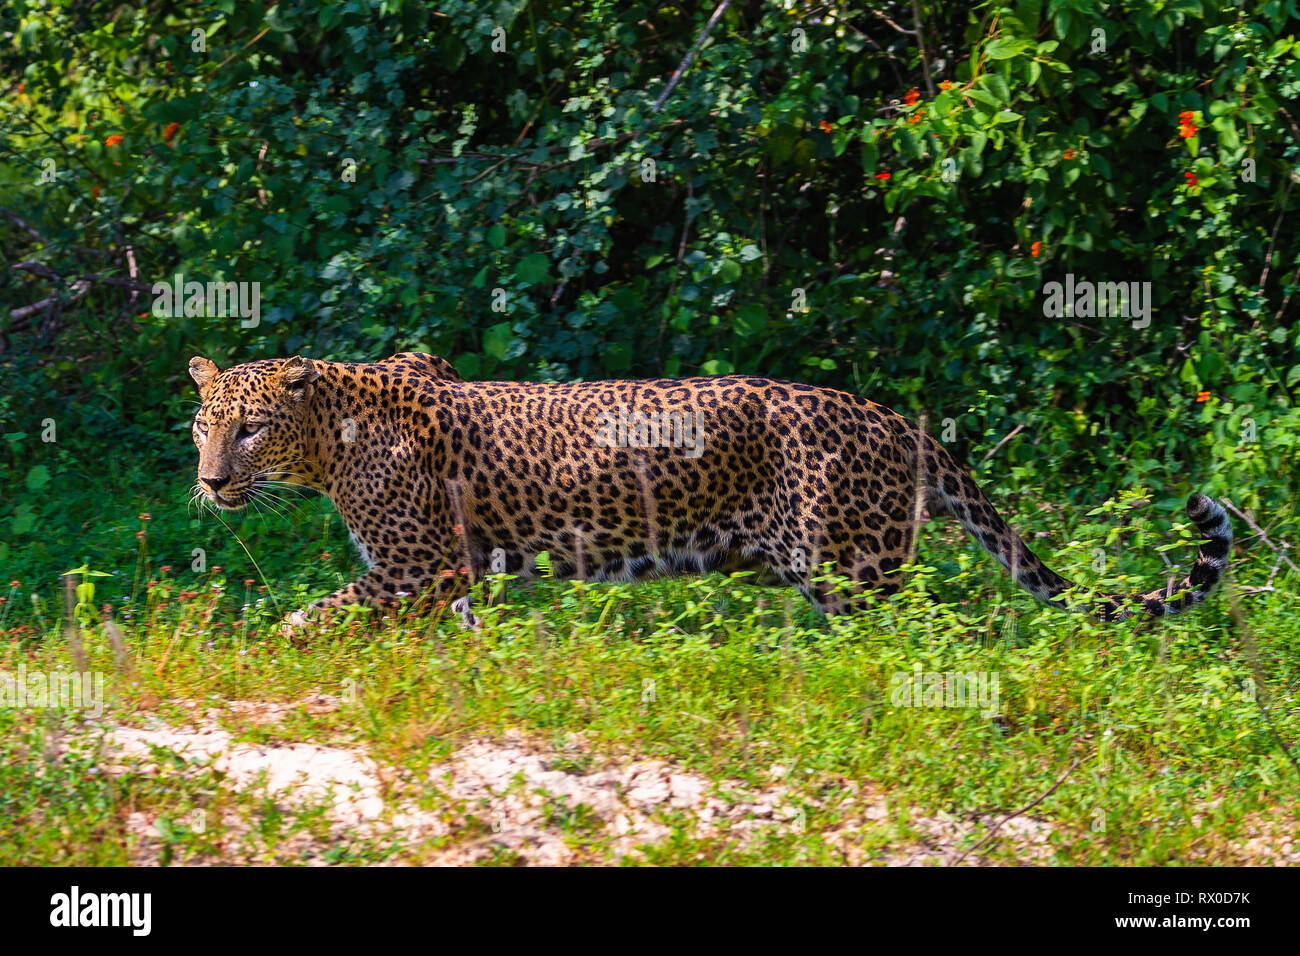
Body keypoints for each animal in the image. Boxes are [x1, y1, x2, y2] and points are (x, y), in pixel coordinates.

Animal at [187, 351, 1232, 632]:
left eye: (251, 428)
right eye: (204, 426)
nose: (208, 482)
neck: (328, 438)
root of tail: (894, 418)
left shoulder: (417, 566)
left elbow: (316, 618)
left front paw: (262, 650)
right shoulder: (450, 576)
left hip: (853, 567)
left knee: (933, 641)